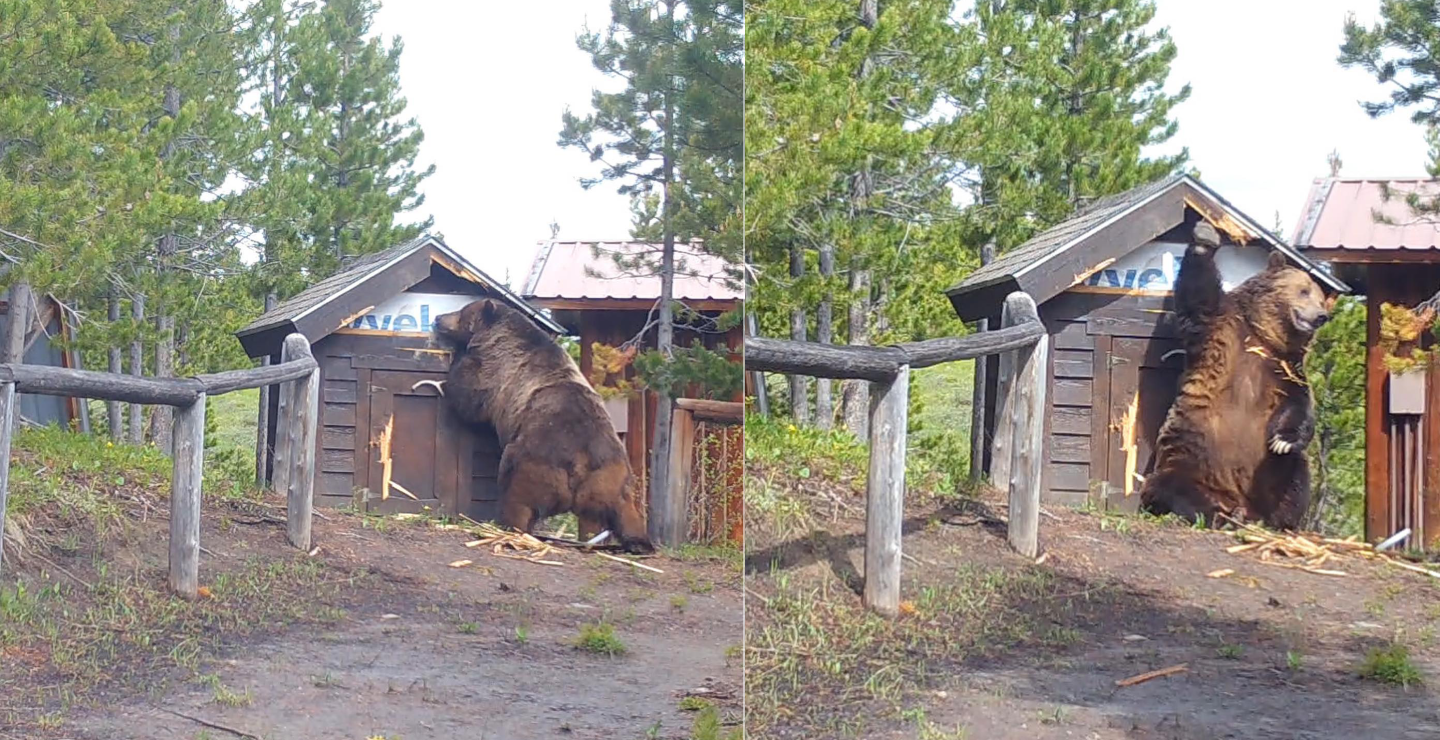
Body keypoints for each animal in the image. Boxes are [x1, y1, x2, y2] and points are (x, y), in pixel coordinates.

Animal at [431, 298, 655, 554]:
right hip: (611, 474)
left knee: (516, 493)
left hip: (533, 461)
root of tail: (580, 463)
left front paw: (455, 361)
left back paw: (508, 526)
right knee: (625, 508)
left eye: (461, 312)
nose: (438, 318)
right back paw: (639, 542)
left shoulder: (497, 372)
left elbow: (470, 395)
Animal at [1138, 220, 1333, 530]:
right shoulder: (1222, 332)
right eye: (1304, 291)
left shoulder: (1285, 367)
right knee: (1172, 485)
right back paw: (1220, 515)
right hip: (1191, 458)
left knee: (1296, 477)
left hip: (1268, 472)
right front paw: (1205, 238)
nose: (1320, 316)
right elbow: (1198, 300)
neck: (1264, 336)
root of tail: (1240, 499)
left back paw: (1278, 521)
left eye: (1321, 297)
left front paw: (1283, 439)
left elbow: (1299, 405)